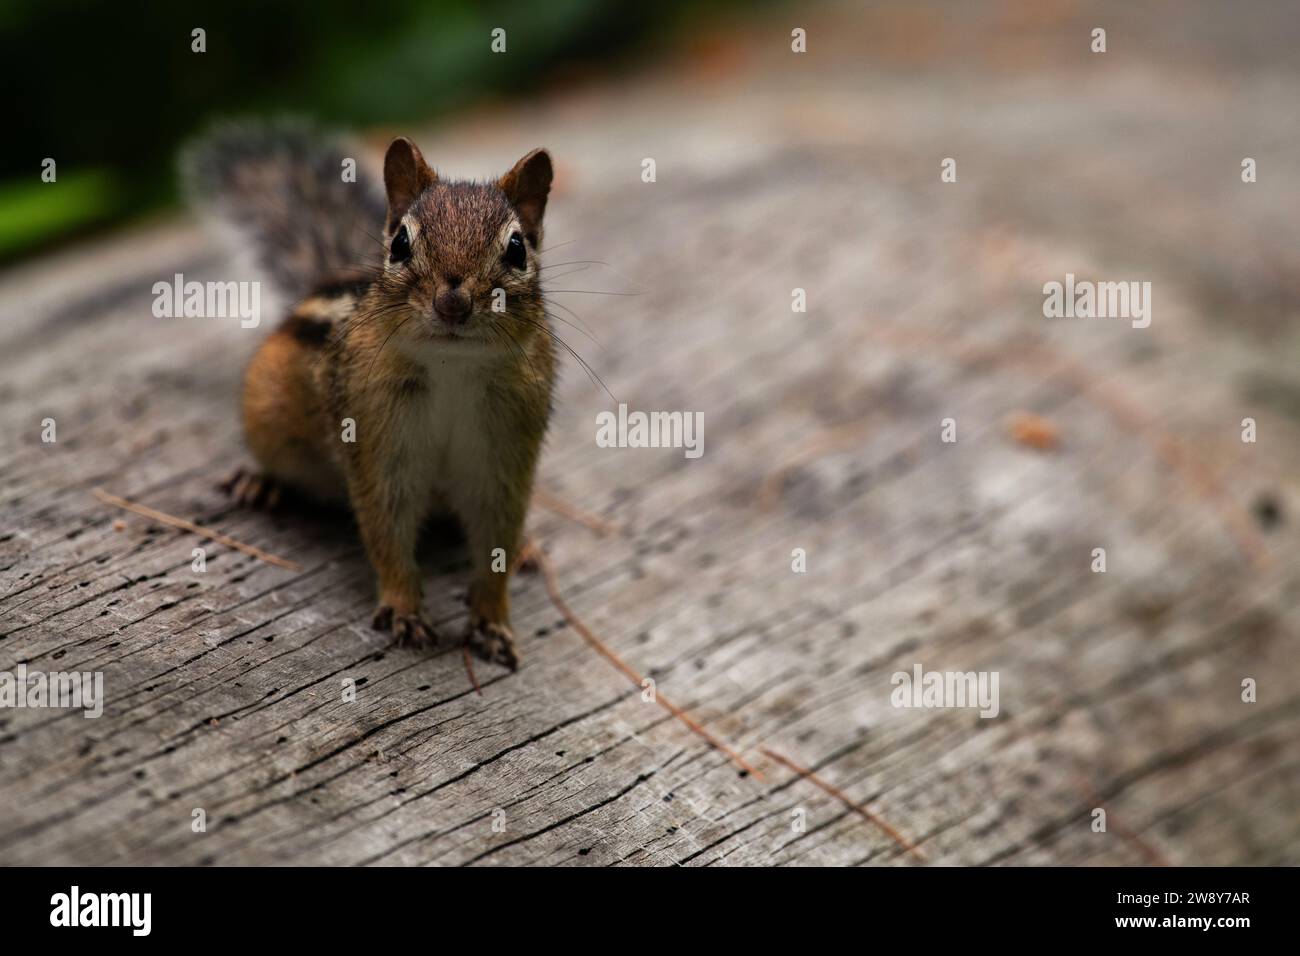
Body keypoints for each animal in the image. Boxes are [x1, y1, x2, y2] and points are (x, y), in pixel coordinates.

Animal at [184, 123, 556, 669]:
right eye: (400, 242)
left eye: (516, 249)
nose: (452, 302)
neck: (453, 368)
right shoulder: (377, 438)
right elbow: (386, 526)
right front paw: (404, 609)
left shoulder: (504, 451)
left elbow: (497, 539)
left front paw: (492, 621)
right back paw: (260, 482)